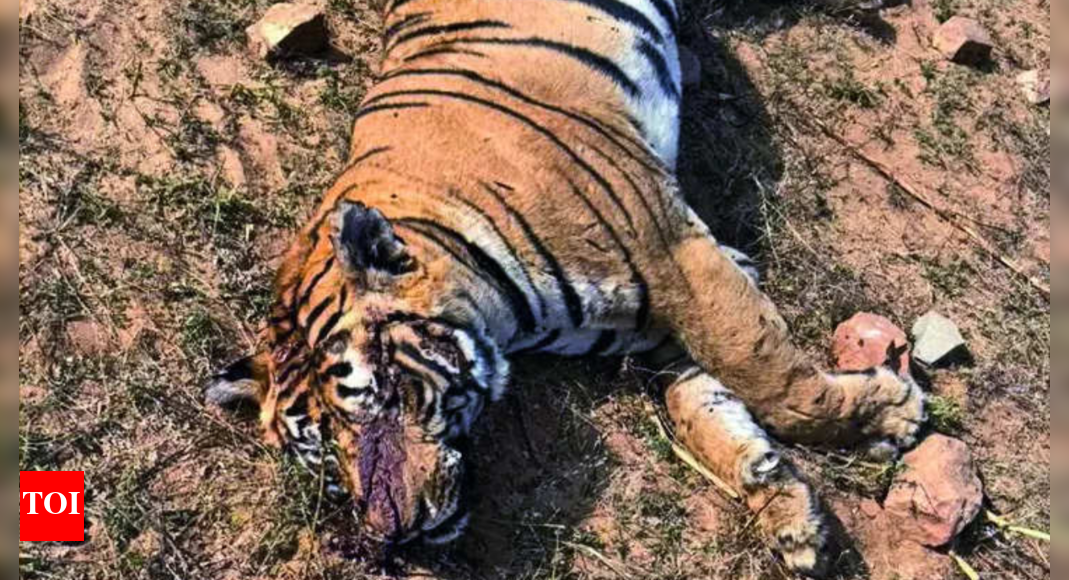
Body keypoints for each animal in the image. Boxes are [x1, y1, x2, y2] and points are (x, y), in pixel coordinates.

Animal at [206, 0, 927, 576]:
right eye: (325, 457)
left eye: (384, 396)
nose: (395, 534)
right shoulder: (660, 328)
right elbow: (710, 413)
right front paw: (788, 516)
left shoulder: (673, 254)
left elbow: (768, 374)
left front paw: (892, 412)